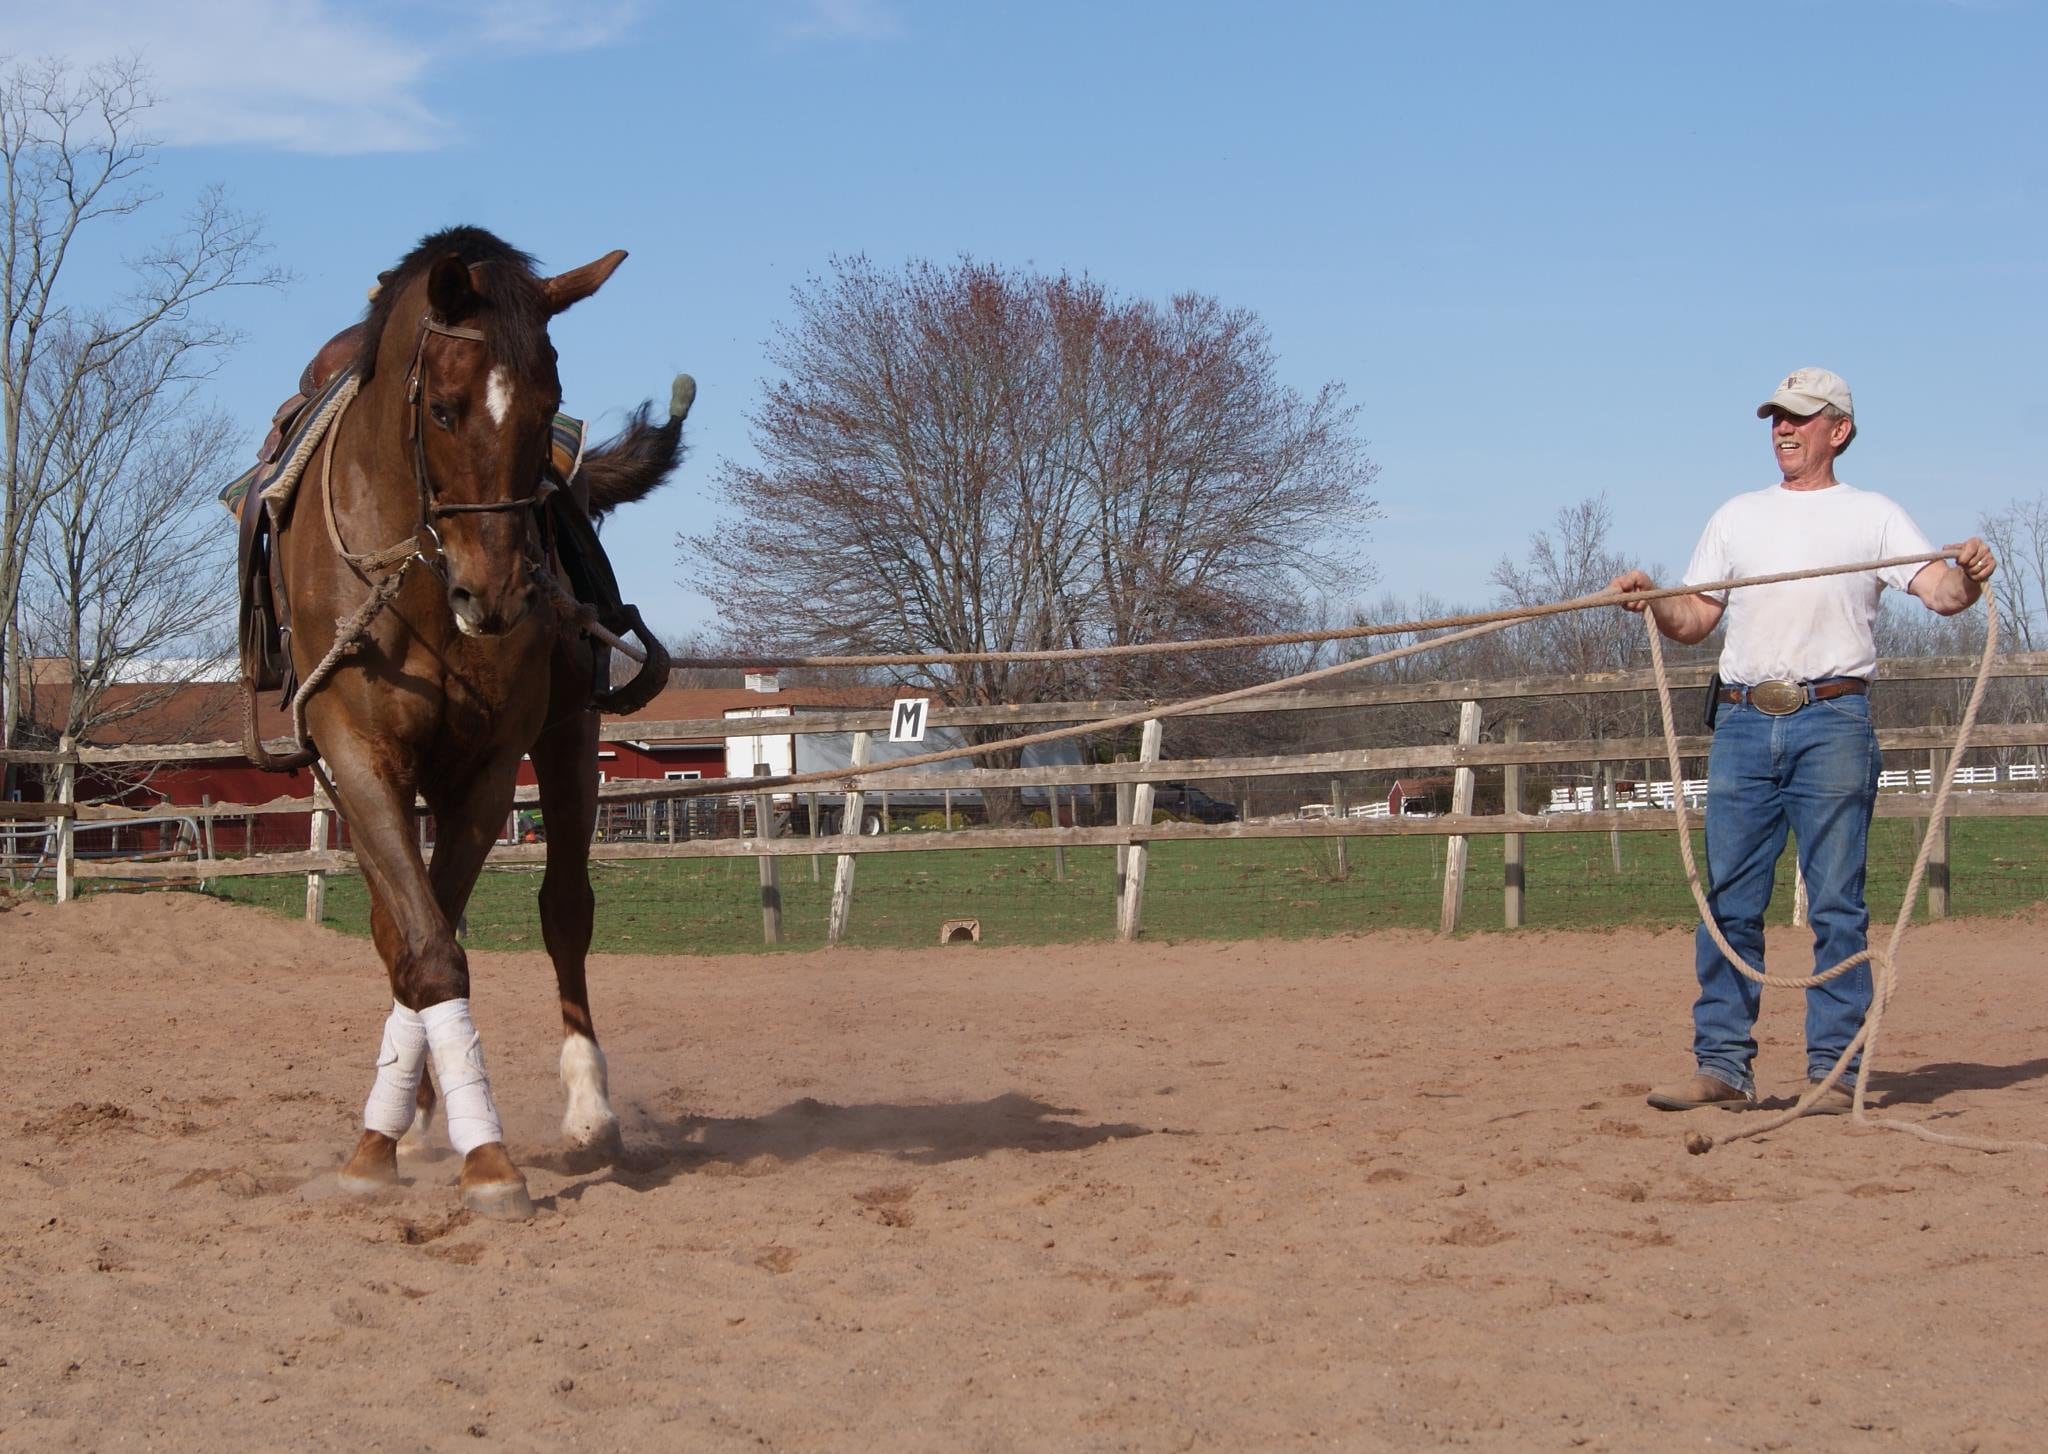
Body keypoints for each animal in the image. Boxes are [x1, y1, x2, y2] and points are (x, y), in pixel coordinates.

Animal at [269, 226, 682, 1218]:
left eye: (549, 409)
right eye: (447, 411)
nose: (494, 595)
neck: (417, 583)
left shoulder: (493, 768)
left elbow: (448, 938)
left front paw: (480, 1152)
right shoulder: (356, 757)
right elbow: (419, 945)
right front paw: (389, 1138)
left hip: (568, 743)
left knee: (565, 911)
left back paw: (587, 1110)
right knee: (409, 927)